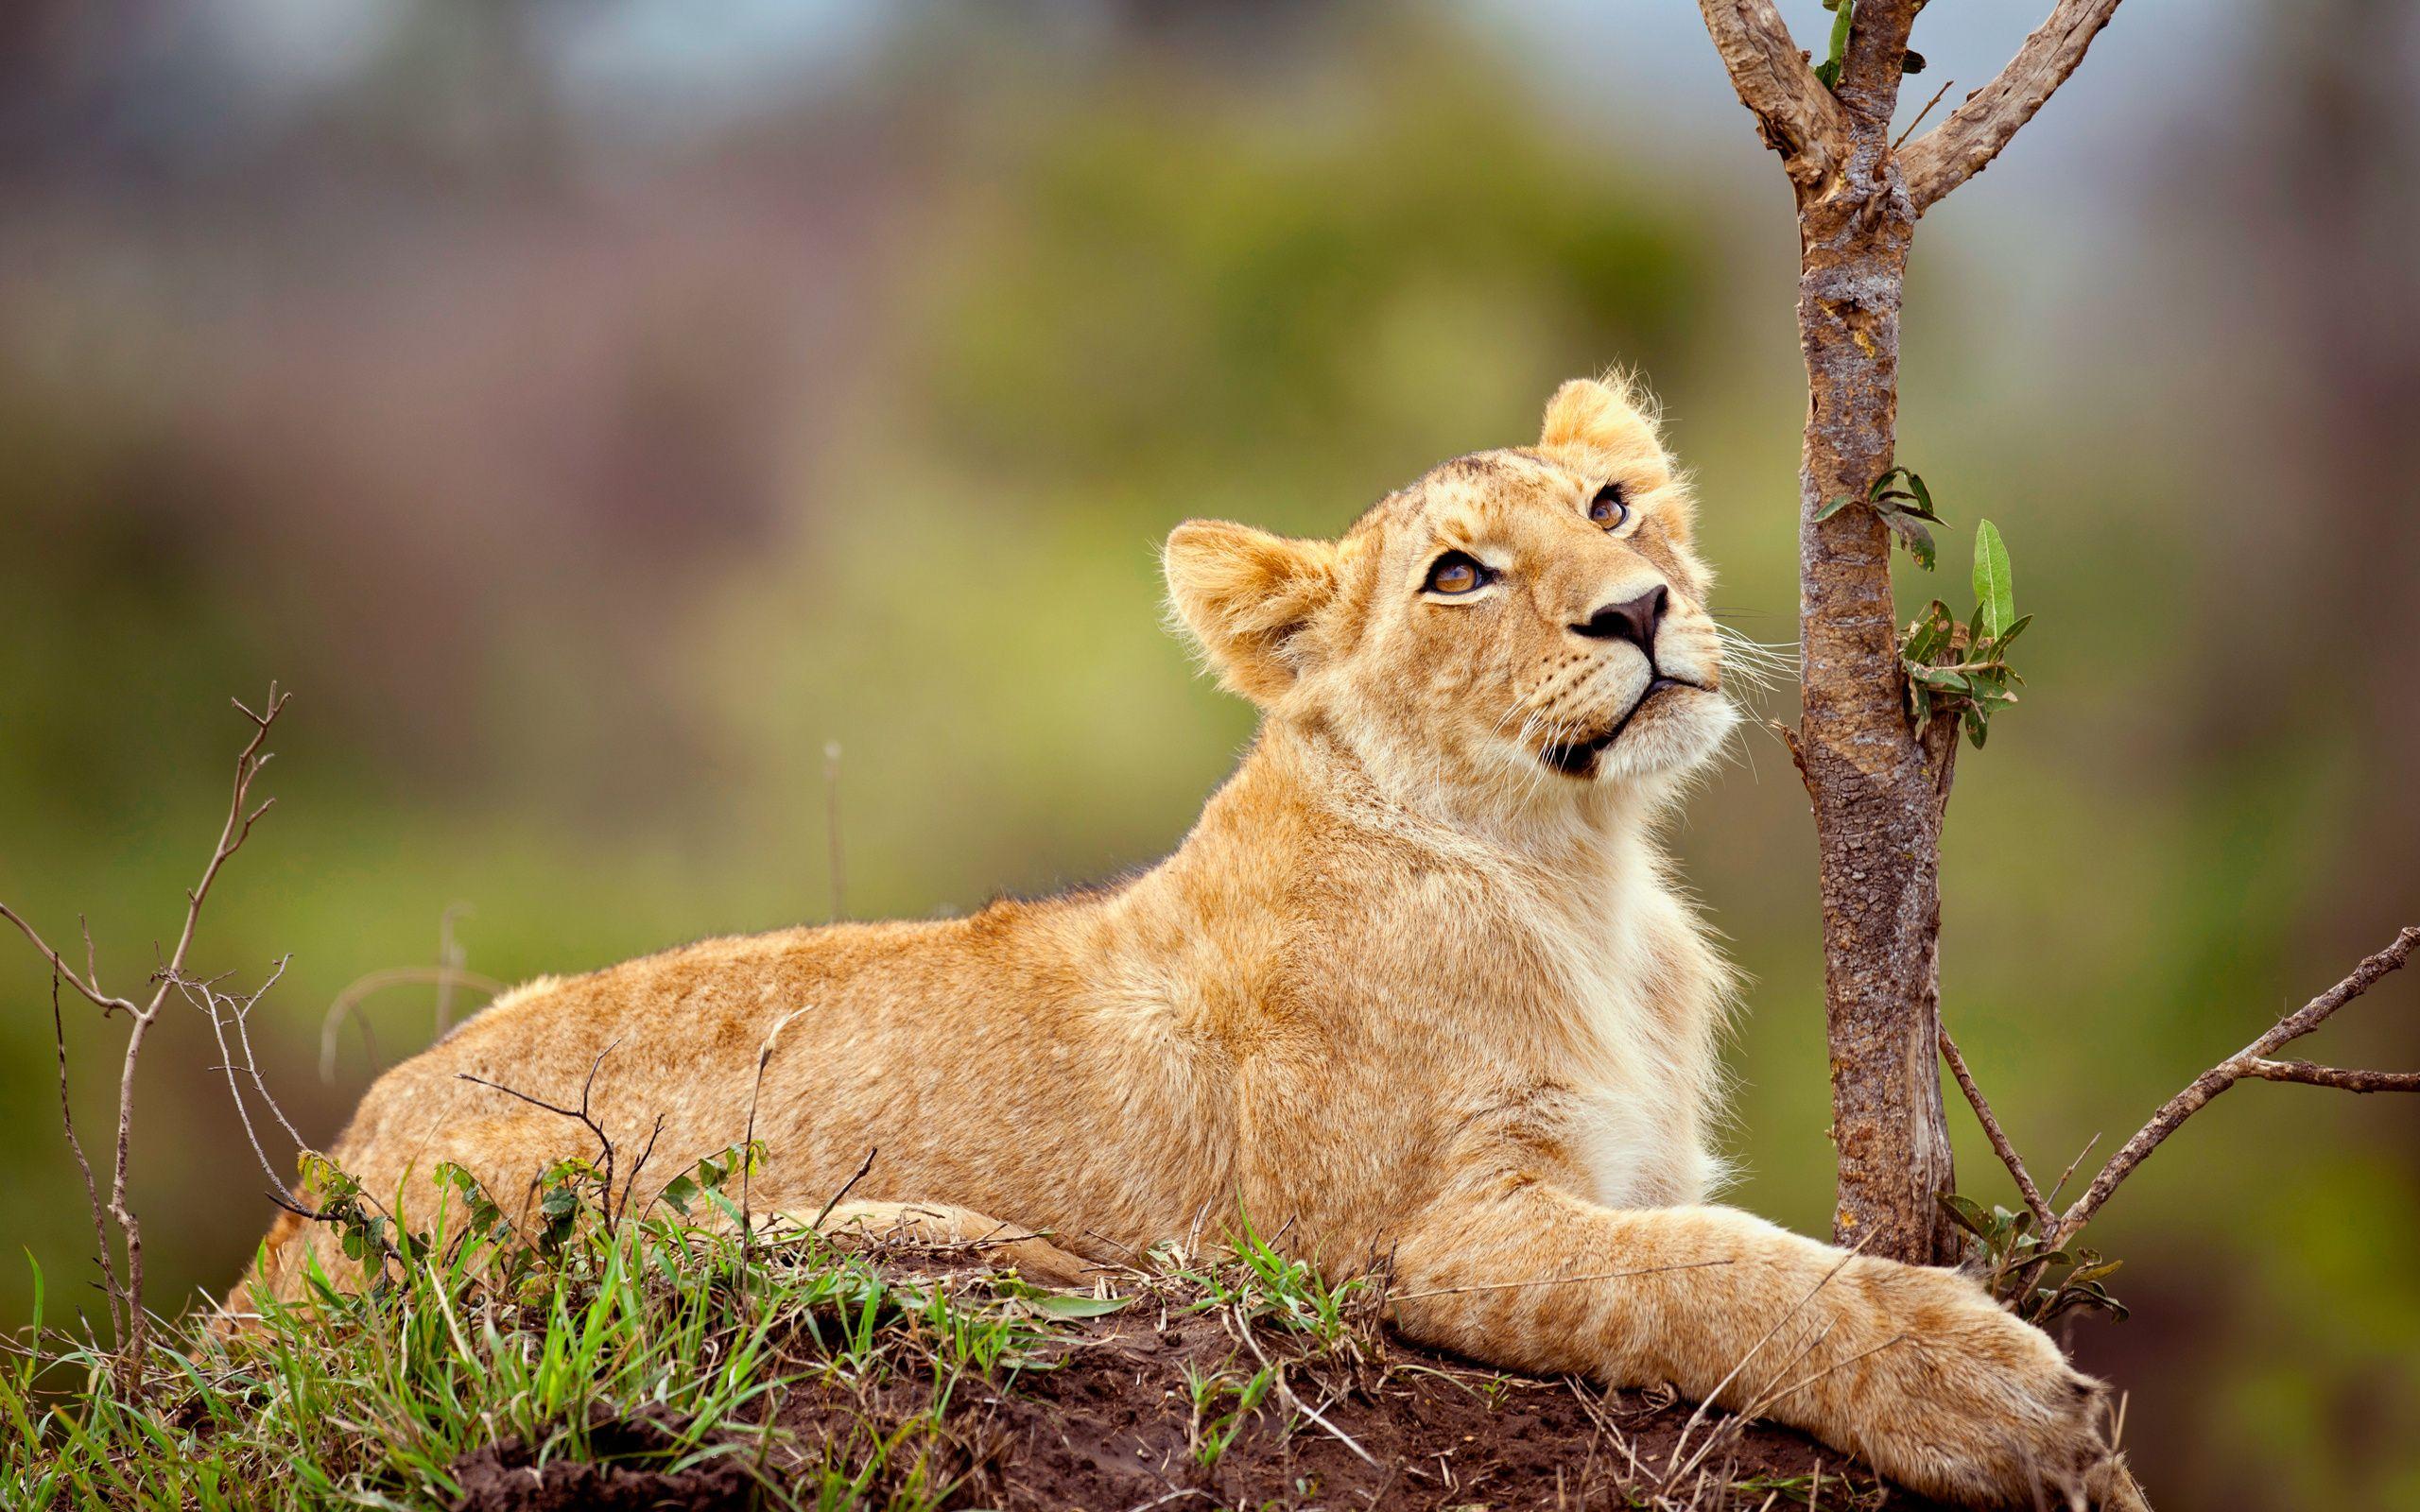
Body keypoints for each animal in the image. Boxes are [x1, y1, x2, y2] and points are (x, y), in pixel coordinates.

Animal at [234, 377, 2137, 1508]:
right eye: (1457, 577)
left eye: (1609, 510)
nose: (1643, 610)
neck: (1579, 870)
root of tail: (289, 1226)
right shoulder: (1409, 1240)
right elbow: (1714, 1279)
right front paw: (1999, 1403)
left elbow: (1712, 1248)